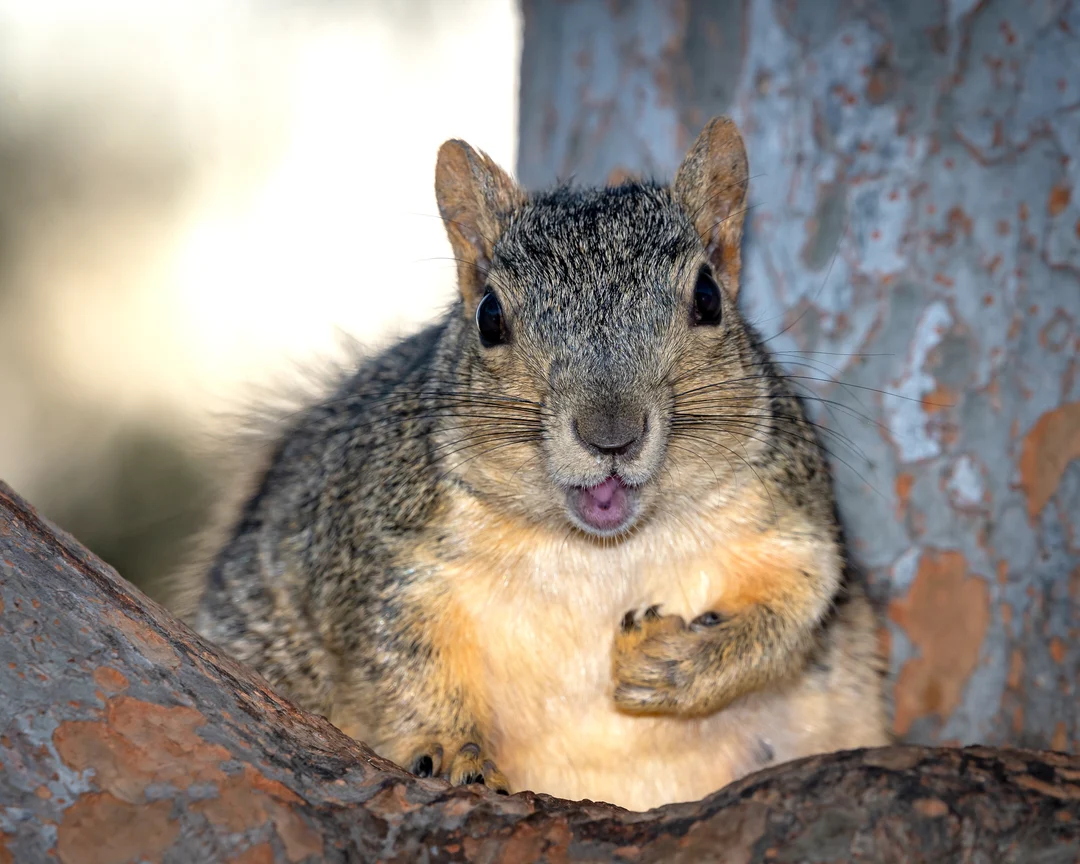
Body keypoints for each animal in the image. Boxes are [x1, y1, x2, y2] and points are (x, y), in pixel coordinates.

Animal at [177, 116, 890, 812]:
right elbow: (397, 657)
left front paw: (671, 663)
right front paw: (451, 748)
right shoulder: (382, 549)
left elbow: (799, 606)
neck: (602, 553)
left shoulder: (783, 507)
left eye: (709, 297)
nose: (611, 434)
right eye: (489, 316)